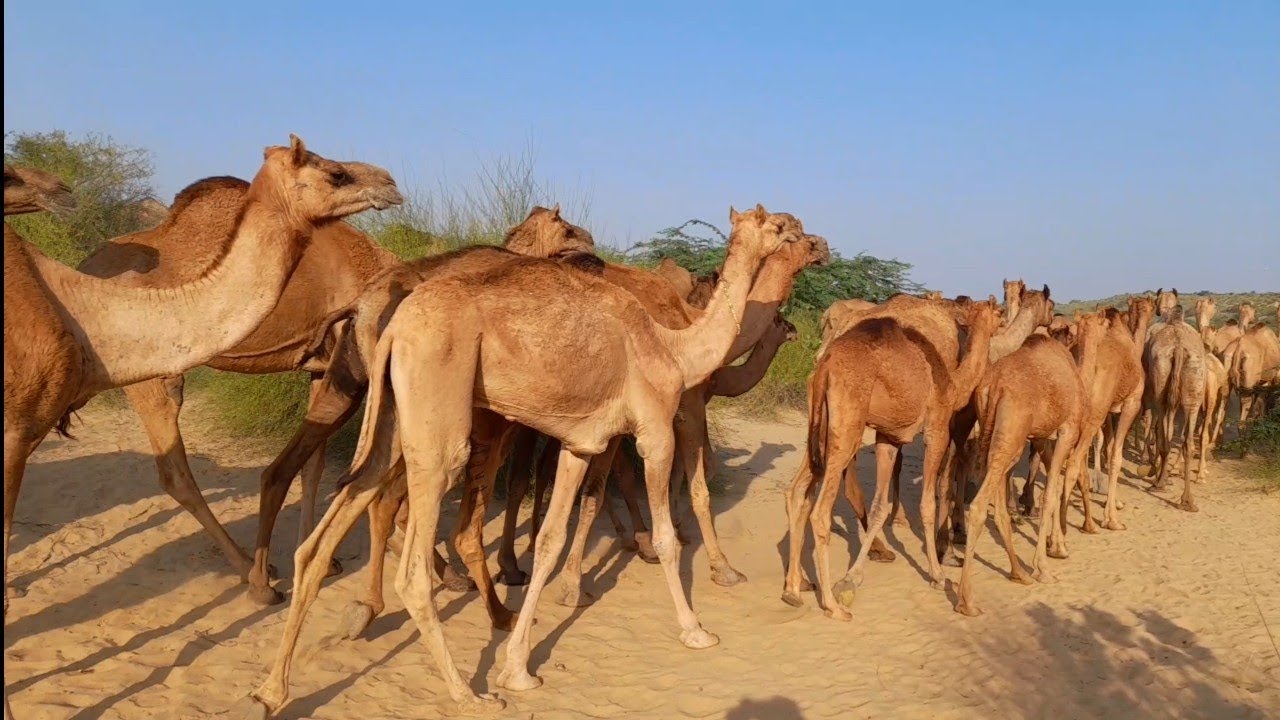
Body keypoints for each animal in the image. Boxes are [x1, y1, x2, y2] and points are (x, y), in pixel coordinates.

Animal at [4, 138, 401, 718]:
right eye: (336, 172)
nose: (389, 181)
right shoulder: (346, 361)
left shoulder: (322, 365)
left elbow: (314, 467)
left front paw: (323, 565)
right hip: (155, 378)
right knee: (175, 473)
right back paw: (253, 577)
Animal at [782, 297, 1001, 618]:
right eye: (998, 312)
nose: (1002, 322)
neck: (953, 382)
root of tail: (825, 367)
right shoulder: (937, 428)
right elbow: (926, 504)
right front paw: (938, 576)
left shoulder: (889, 438)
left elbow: (879, 507)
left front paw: (852, 577)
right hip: (847, 427)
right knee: (820, 511)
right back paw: (833, 606)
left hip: (818, 427)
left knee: (797, 491)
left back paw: (793, 590)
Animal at [954, 313, 1105, 615]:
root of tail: (994, 386)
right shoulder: (1067, 429)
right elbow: (1051, 492)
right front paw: (1047, 563)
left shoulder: (1041, 436)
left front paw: (1054, 546)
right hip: (1011, 432)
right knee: (978, 506)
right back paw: (967, 601)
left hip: (1000, 437)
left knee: (998, 504)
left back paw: (1018, 573)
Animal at [1144, 305, 1207, 511]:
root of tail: (1178, 347)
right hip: (1194, 382)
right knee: (1187, 442)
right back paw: (1188, 501)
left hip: (1161, 379)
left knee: (1164, 438)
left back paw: (1159, 484)